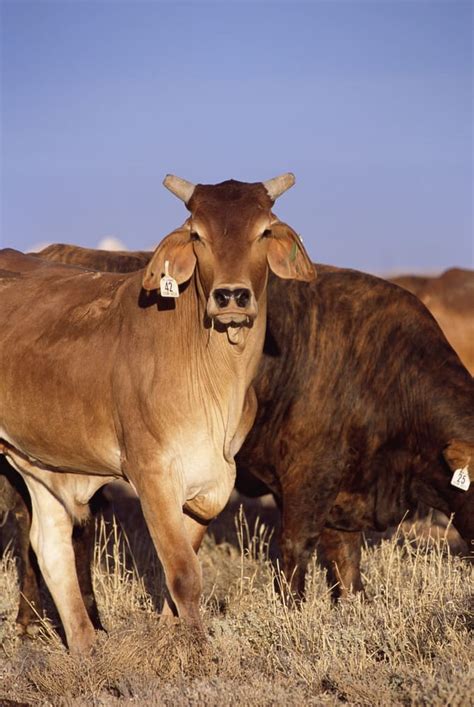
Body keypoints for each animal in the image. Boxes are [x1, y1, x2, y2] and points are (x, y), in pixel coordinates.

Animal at [0, 173, 315, 652]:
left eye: (263, 230)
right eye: (197, 234)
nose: (232, 296)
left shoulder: (212, 483)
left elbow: (176, 579)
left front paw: (172, 641)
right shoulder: (152, 473)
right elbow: (183, 574)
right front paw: (199, 653)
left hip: (40, 462)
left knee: (49, 543)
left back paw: (86, 649)